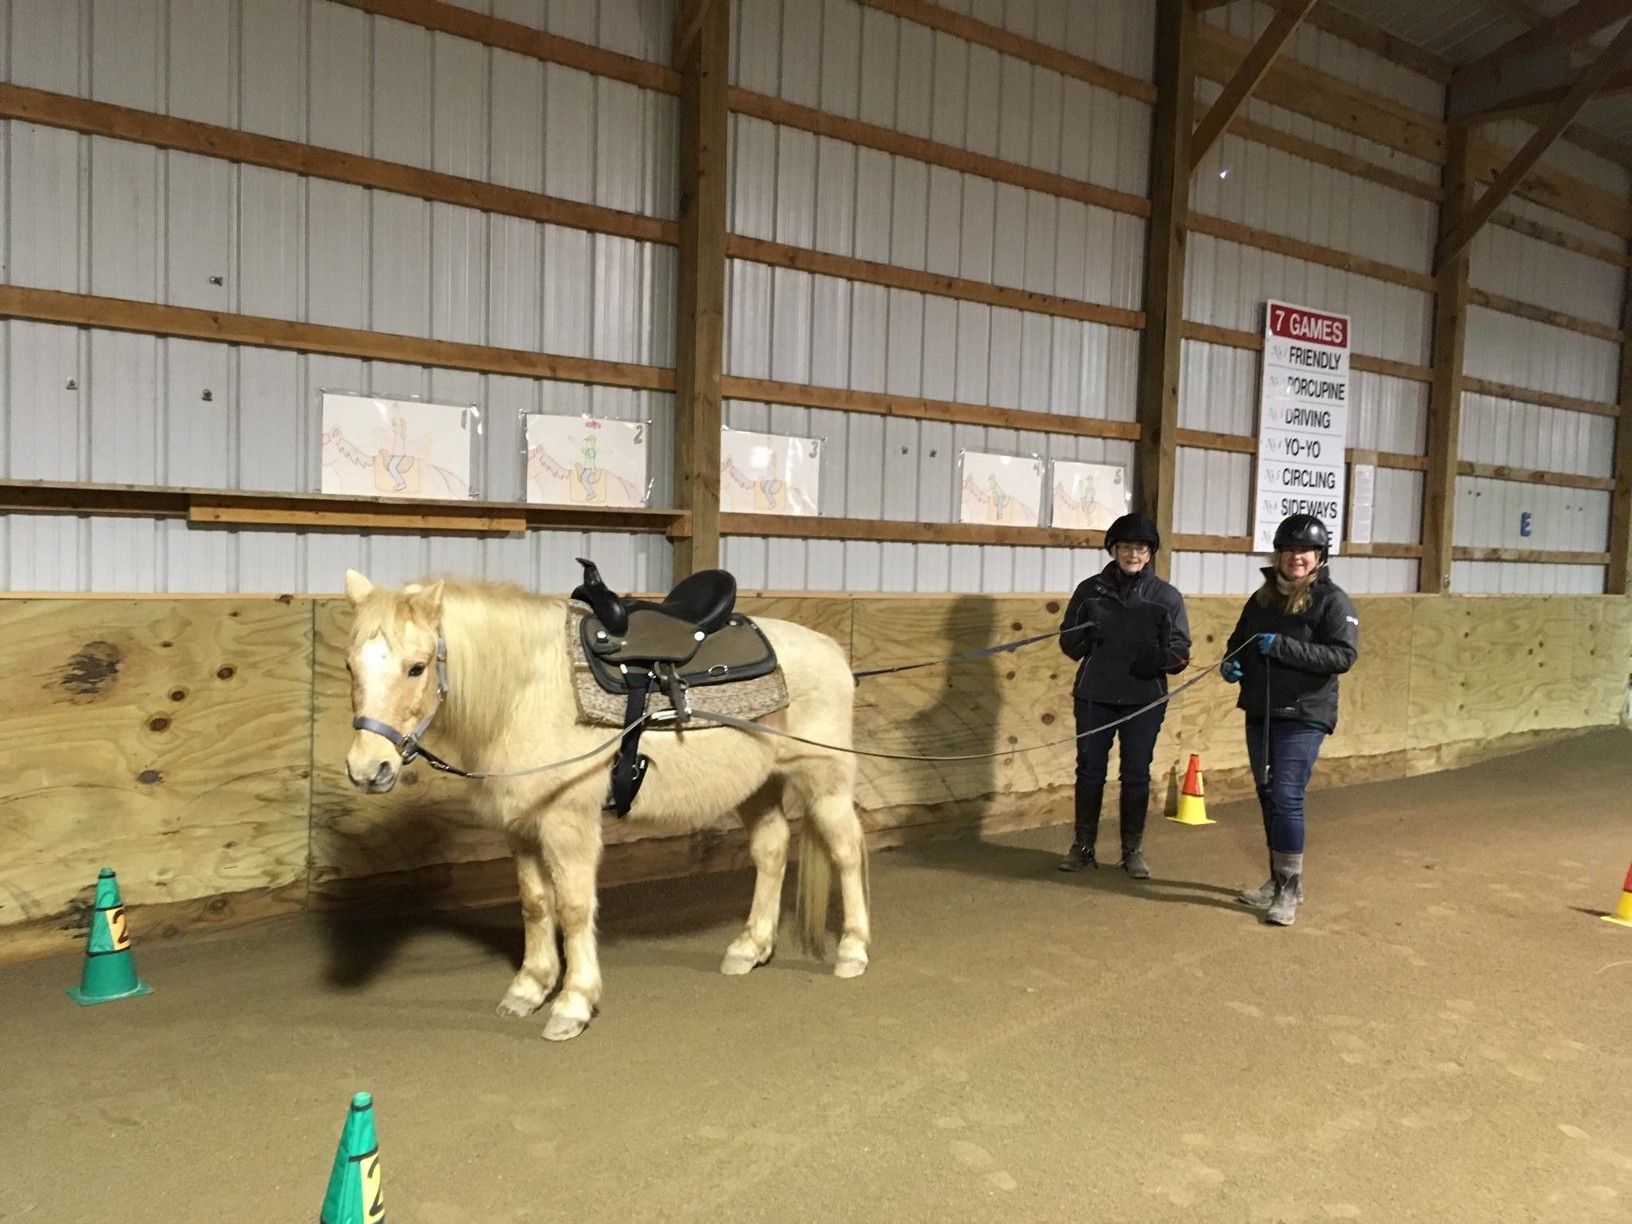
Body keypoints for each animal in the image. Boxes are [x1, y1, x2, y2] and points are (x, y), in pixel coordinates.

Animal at [340, 570, 871, 1041]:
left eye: (417, 666)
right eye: (350, 666)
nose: (369, 769)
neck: (530, 691)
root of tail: (833, 653)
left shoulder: (567, 822)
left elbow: (574, 907)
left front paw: (572, 1003)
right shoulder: (521, 827)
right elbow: (536, 904)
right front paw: (530, 988)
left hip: (824, 779)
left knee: (846, 850)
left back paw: (853, 950)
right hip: (758, 785)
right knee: (772, 850)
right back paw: (750, 947)